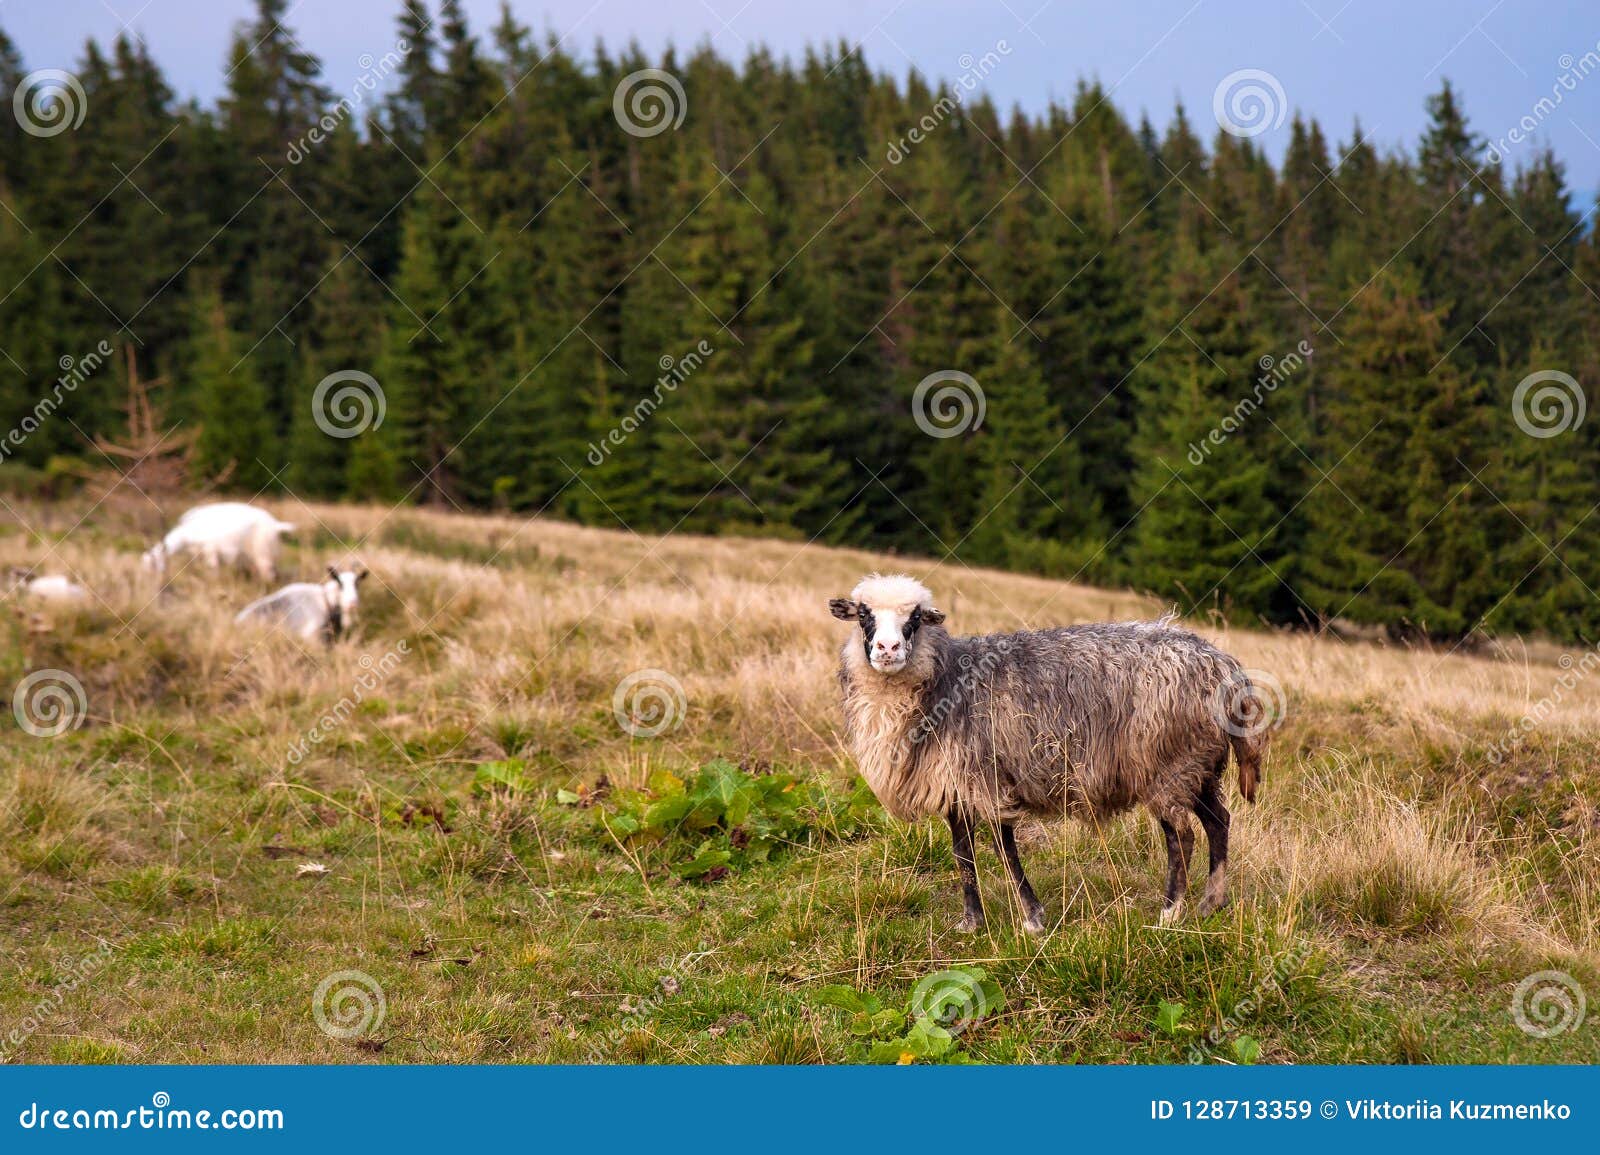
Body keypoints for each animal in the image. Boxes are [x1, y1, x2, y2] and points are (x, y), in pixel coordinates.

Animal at [141, 502, 296, 582]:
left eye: (153, 563)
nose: (148, 583)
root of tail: (276, 524)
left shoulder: (211, 552)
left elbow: (213, 571)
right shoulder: (199, 555)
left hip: (262, 552)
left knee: (268, 575)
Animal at [828, 573, 1269, 934]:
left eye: (915, 618)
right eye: (864, 615)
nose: (887, 648)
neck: (942, 679)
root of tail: (1221, 665)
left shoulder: (987, 778)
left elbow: (1003, 849)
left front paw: (1033, 919)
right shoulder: (954, 784)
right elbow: (963, 855)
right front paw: (972, 923)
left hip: (1169, 766)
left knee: (1182, 836)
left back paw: (1169, 913)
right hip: (1201, 765)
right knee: (1219, 822)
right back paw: (1211, 903)